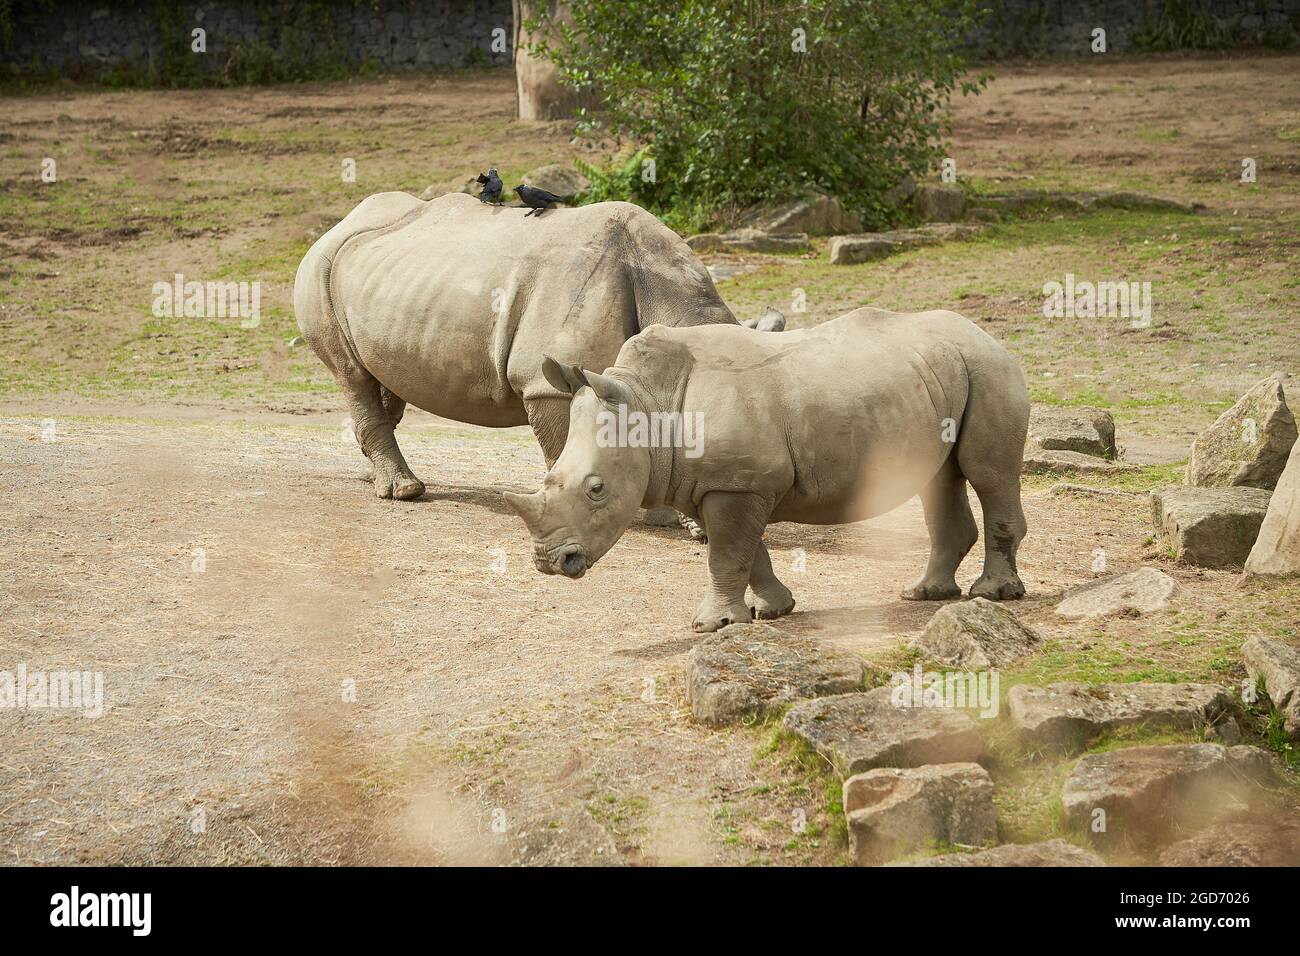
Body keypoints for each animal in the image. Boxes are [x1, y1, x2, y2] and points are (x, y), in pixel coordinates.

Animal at [293, 191, 746, 504]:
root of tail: (342, 221)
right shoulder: (549, 383)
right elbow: (573, 444)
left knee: (383, 378)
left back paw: (374, 478)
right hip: (318, 267)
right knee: (352, 374)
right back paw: (404, 492)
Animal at [503, 308, 1029, 632]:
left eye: (596, 489)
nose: (550, 562)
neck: (648, 404)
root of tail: (989, 336)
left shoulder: (737, 483)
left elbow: (727, 553)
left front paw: (712, 625)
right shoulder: (726, 483)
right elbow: (745, 552)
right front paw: (771, 610)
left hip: (988, 368)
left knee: (989, 475)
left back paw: (992, 596)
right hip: (942, 373)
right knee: (940, 479)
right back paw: (924, 594)